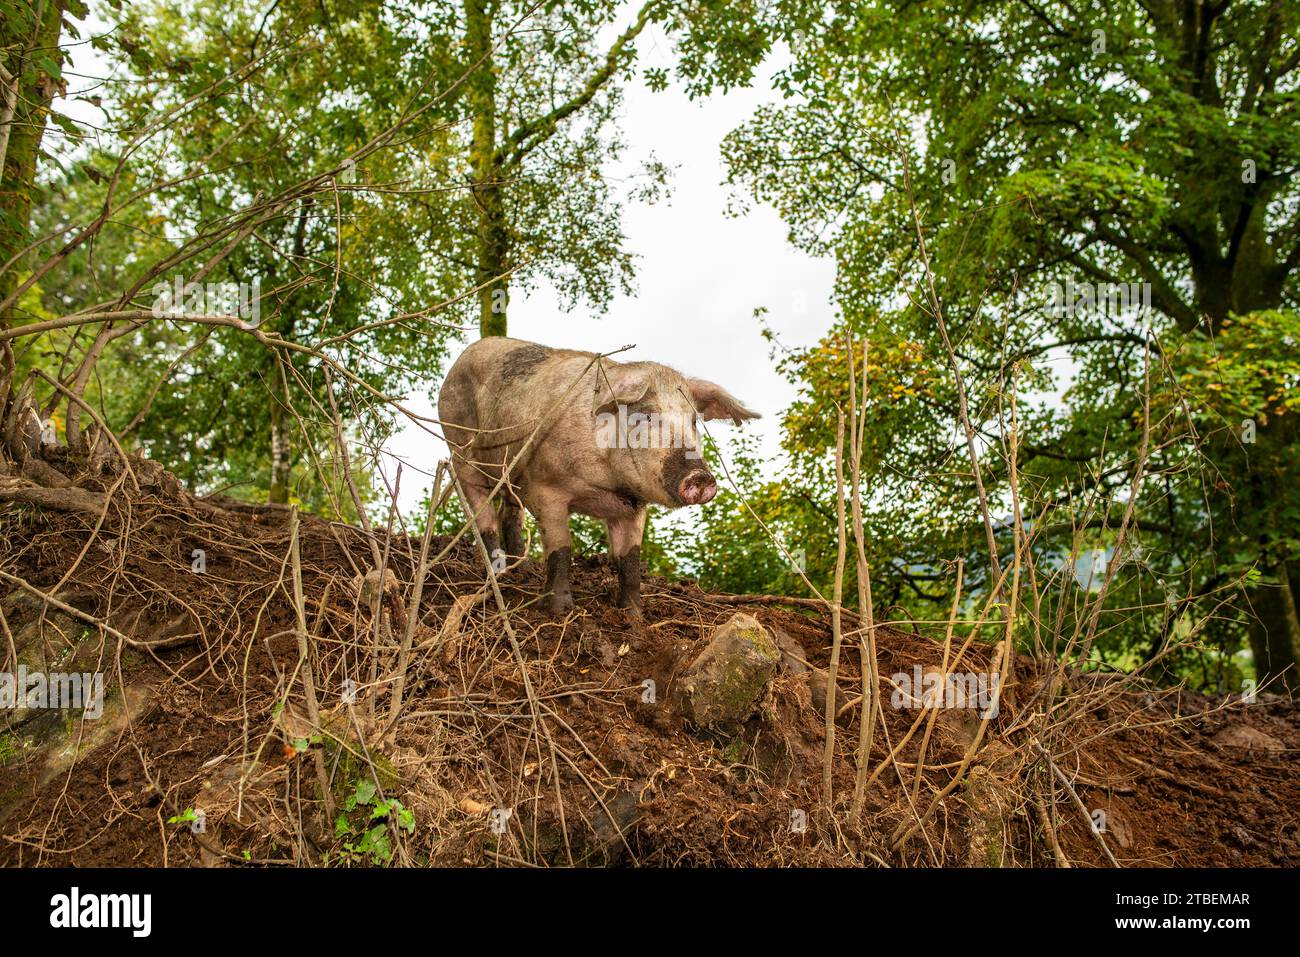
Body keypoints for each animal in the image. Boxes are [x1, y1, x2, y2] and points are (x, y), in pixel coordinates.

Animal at [438, 337, 760, 614]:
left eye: (693, 420)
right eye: (646, 416)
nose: (700, 477)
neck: (609, 484)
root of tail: (465, 354)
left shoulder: (633, 507)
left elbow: (630, 560)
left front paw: (633, 616)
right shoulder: (546, 488)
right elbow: (561, 549)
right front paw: (561, 611)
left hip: (509, 470)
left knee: (510, 513)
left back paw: (524, 570)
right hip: (460, 448)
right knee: (484, 515)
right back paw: (501, 573)